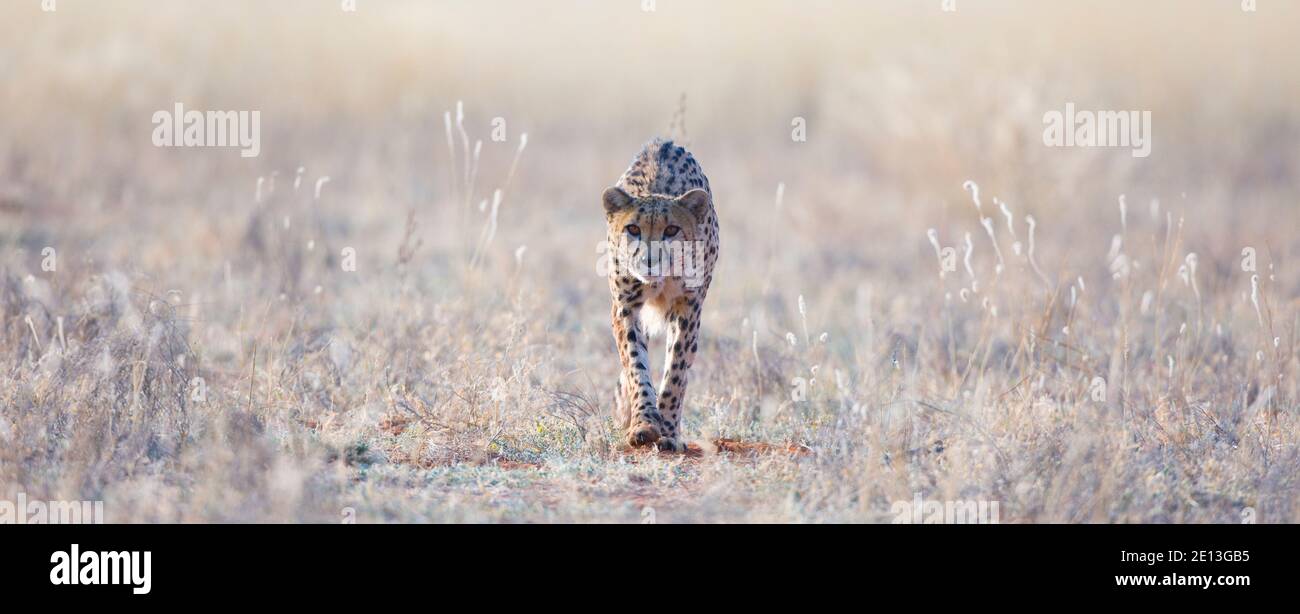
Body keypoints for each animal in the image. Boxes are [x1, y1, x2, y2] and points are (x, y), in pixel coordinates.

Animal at [601, 138, 719, 452]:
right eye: (632, 228)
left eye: (672, 229)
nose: (650, 261)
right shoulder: (626, 308)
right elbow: (635, 365)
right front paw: (643, 424)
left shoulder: (688, 308)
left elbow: (676, 368)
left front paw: (667, 430)